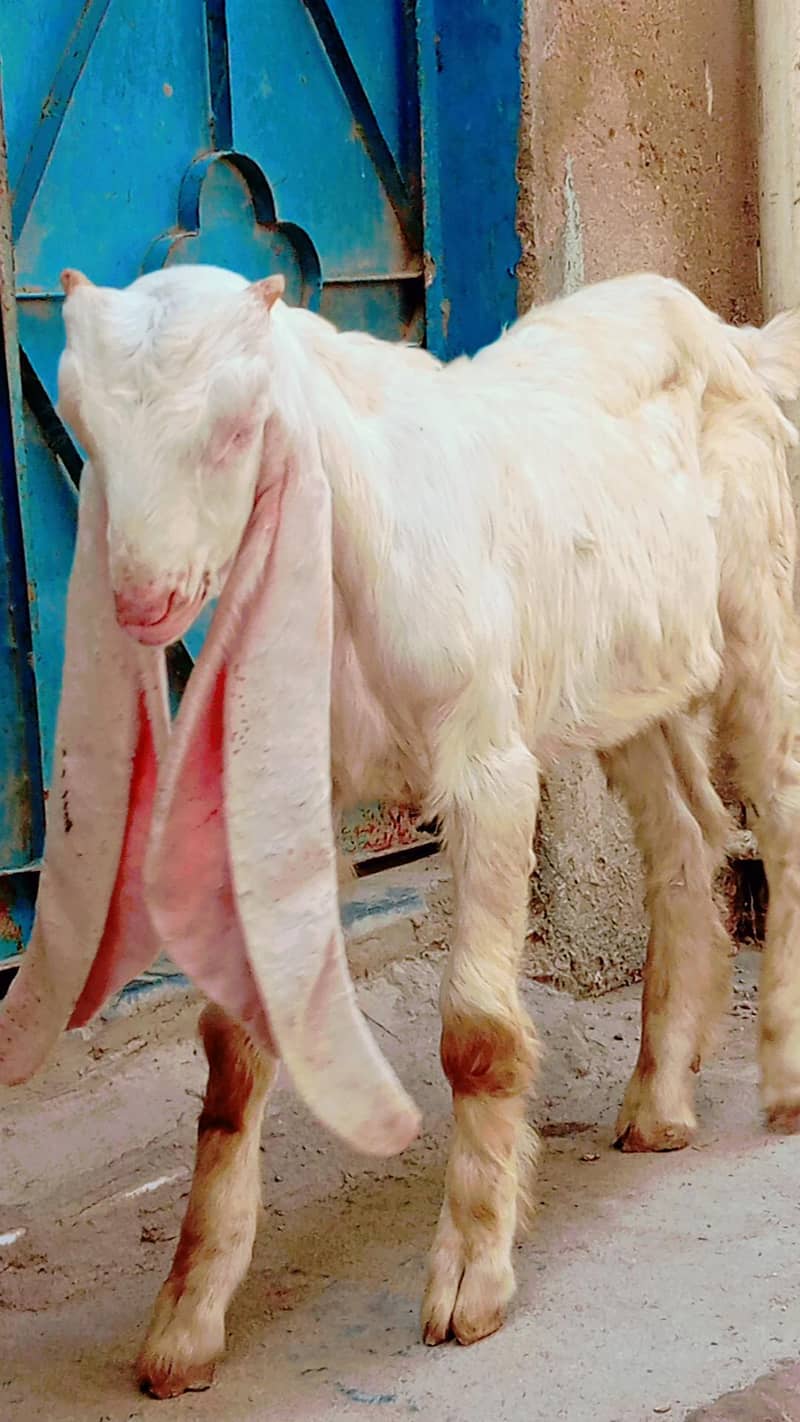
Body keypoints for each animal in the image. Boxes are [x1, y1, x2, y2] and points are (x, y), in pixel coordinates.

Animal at [2, 264, 800, 1399]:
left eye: (238, 427)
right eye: (79, 423)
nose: (143, 599)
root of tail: (722, 332)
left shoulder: (488, 767)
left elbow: (476, 1035)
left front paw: (471, 1276)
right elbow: (231, 1059)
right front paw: (186, 1321)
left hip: (753, 617)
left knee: (778, 807)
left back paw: (781, 1081)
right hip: (623, 674)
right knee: (687, 838)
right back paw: (657, 1105)